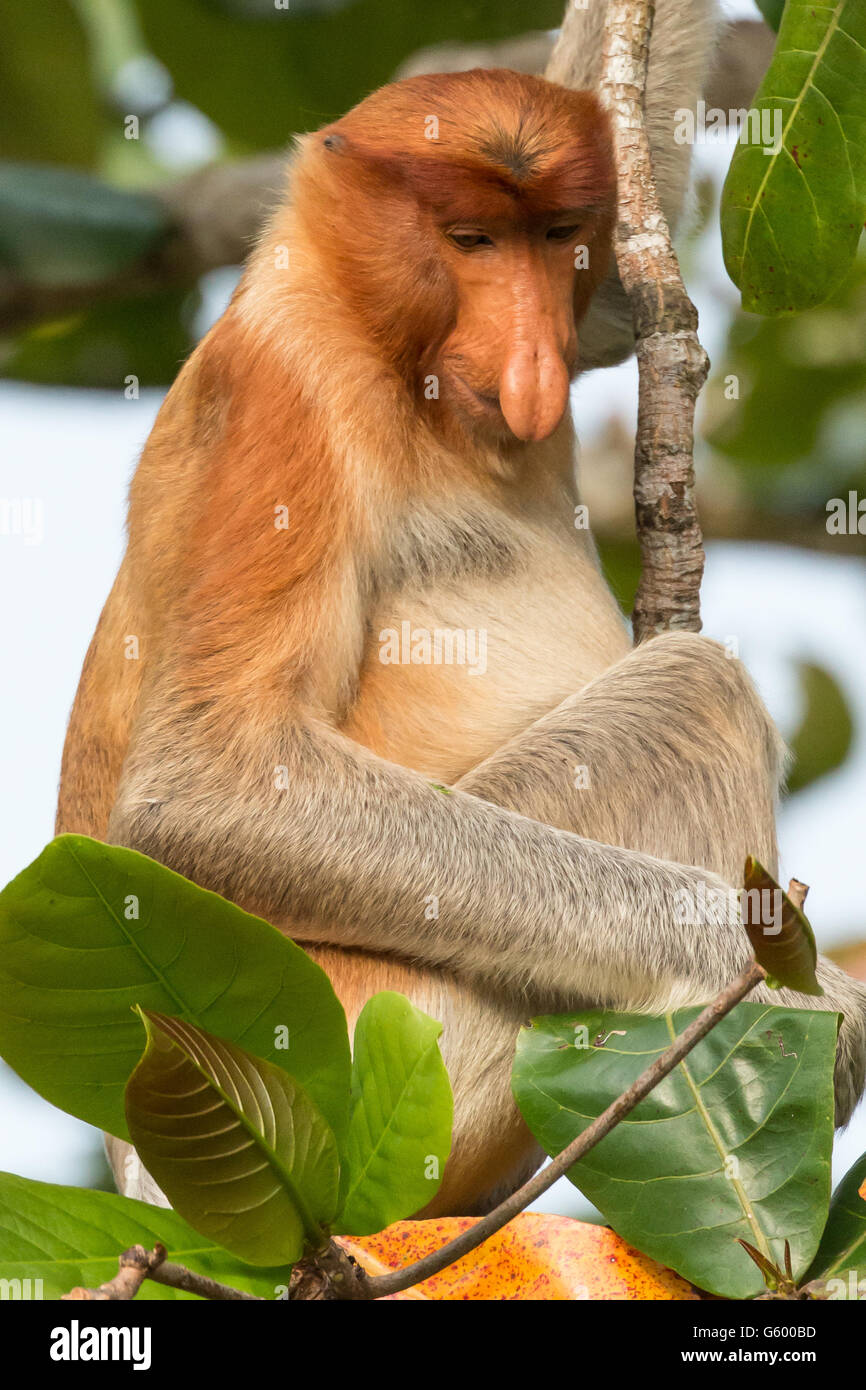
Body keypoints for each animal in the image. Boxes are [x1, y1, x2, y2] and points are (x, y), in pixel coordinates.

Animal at [57, 6, 866, 1218]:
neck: (378, 341)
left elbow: (631, 231)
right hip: (373, 1048)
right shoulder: (284, 404)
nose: (529, 365)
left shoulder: (587, 299)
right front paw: (764, 973)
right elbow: (204, 794)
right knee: (694, 692)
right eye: (472, 240)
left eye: (558, 234)